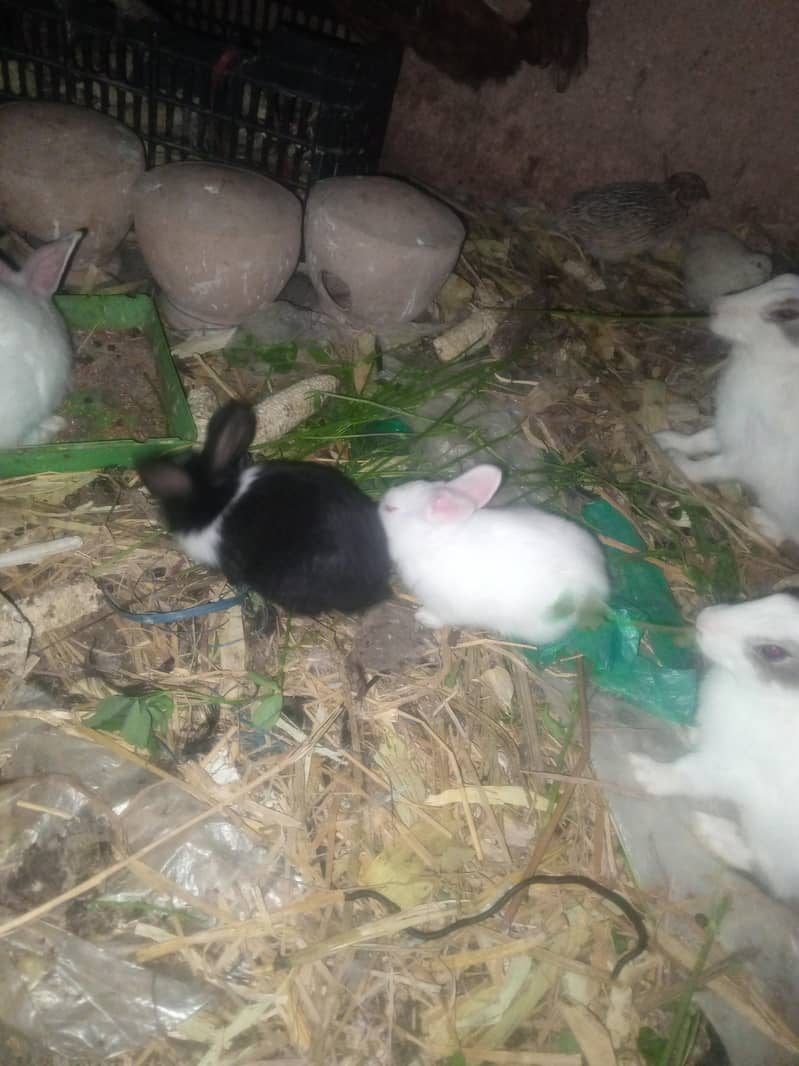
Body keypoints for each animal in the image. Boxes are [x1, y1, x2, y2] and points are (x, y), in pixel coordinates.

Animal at [378, 464, 610, 644]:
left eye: (390, 509)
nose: (379, 503)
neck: (432, 540)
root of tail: (600, 583)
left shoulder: (444, 604)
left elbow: (440, 616)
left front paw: (422, 617)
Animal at [630, 592, 799, 903]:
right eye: (778, 597)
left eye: (772, 651)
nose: (705, 619)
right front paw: (685, 732)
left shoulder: (728, 769)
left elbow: (686, 773)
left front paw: (644, 771)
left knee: (763, 872)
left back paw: (712, 832)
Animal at [655, 274, 799, 544]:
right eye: (782, 278)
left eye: (786, 313)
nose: (716, 306)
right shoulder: (730, 429)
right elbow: (700, 439)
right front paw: (664, 439)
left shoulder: (748, 458)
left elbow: (709, 467)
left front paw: (676, 462)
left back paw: (761, 522)